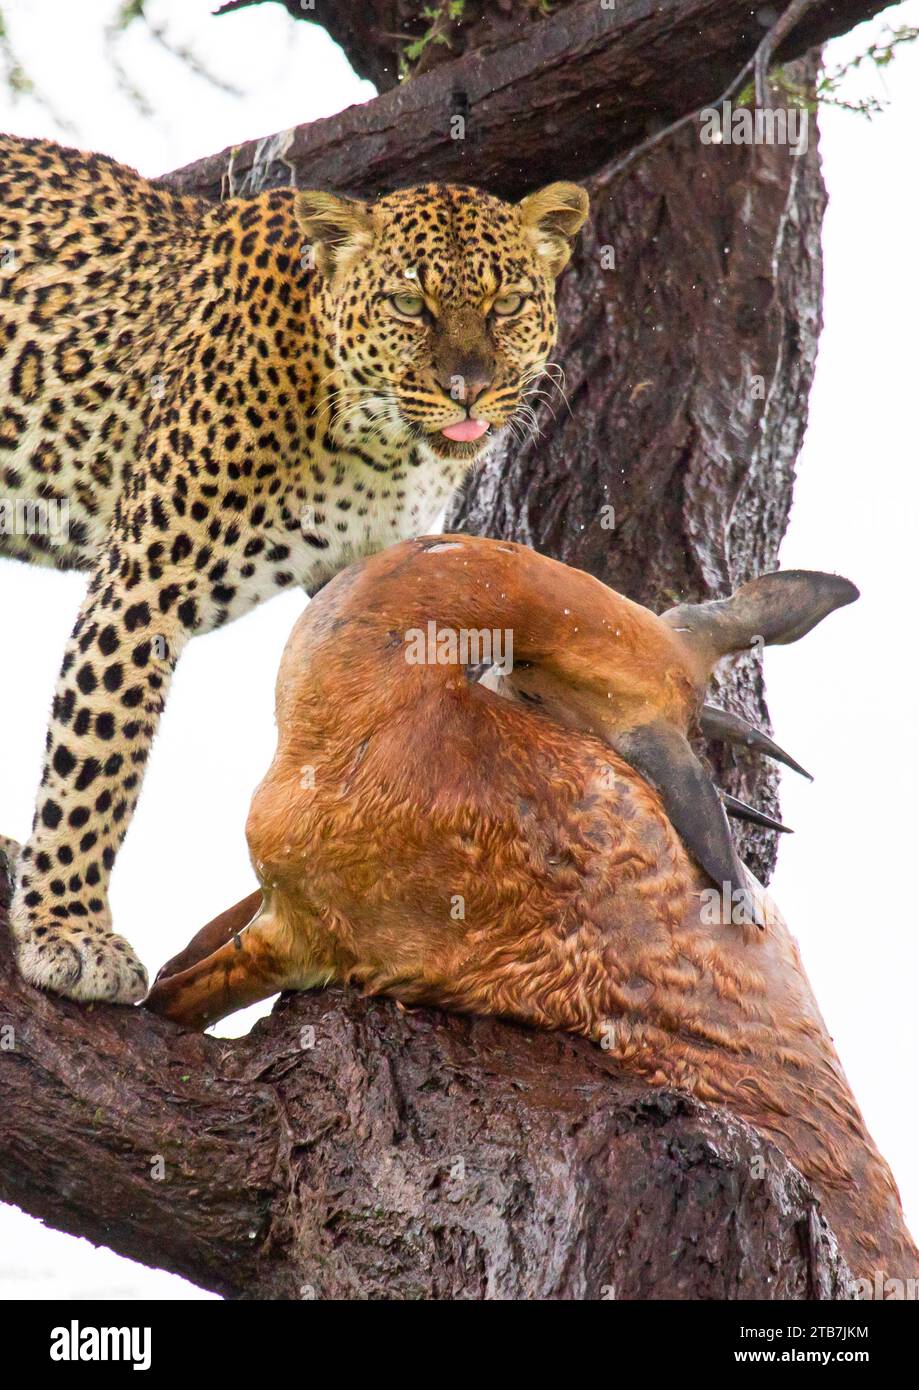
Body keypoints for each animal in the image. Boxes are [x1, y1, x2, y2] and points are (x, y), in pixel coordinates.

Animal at [0, 132, 589, 1004]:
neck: (374, 446)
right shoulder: (143, 584)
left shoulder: (377, 580)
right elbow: (96, 760)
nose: (468, 388)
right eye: (409, 306)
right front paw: (67, 931)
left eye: (506, 303)